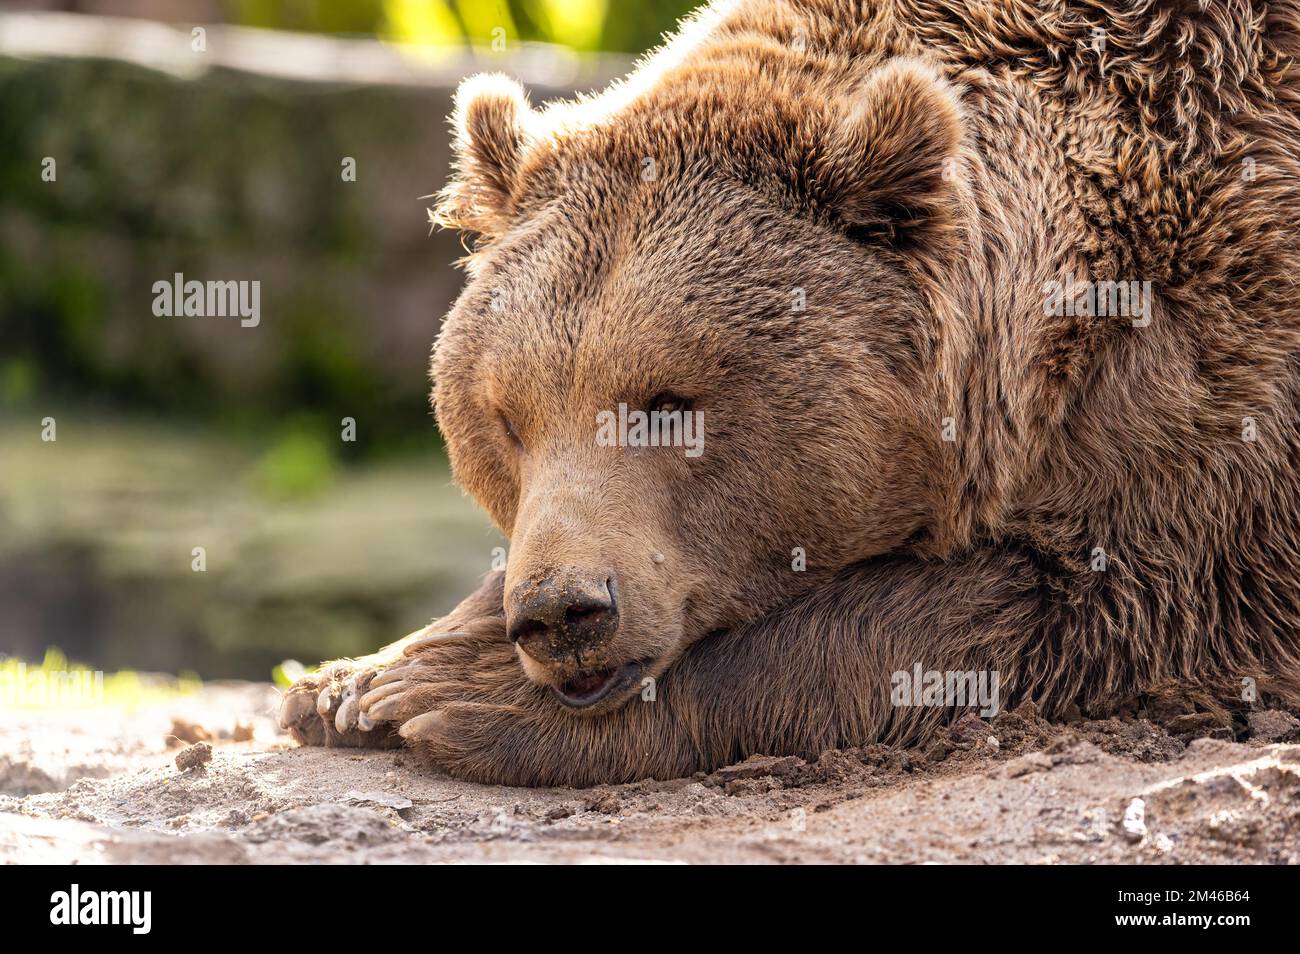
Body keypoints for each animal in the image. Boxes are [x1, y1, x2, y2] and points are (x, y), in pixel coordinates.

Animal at [279, 0, 1300, 787]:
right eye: (506, 418)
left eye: (668, 402)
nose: (564, 614)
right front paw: (358, 678)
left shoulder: (1218, 379)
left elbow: (1119, 609)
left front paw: (447, 697)